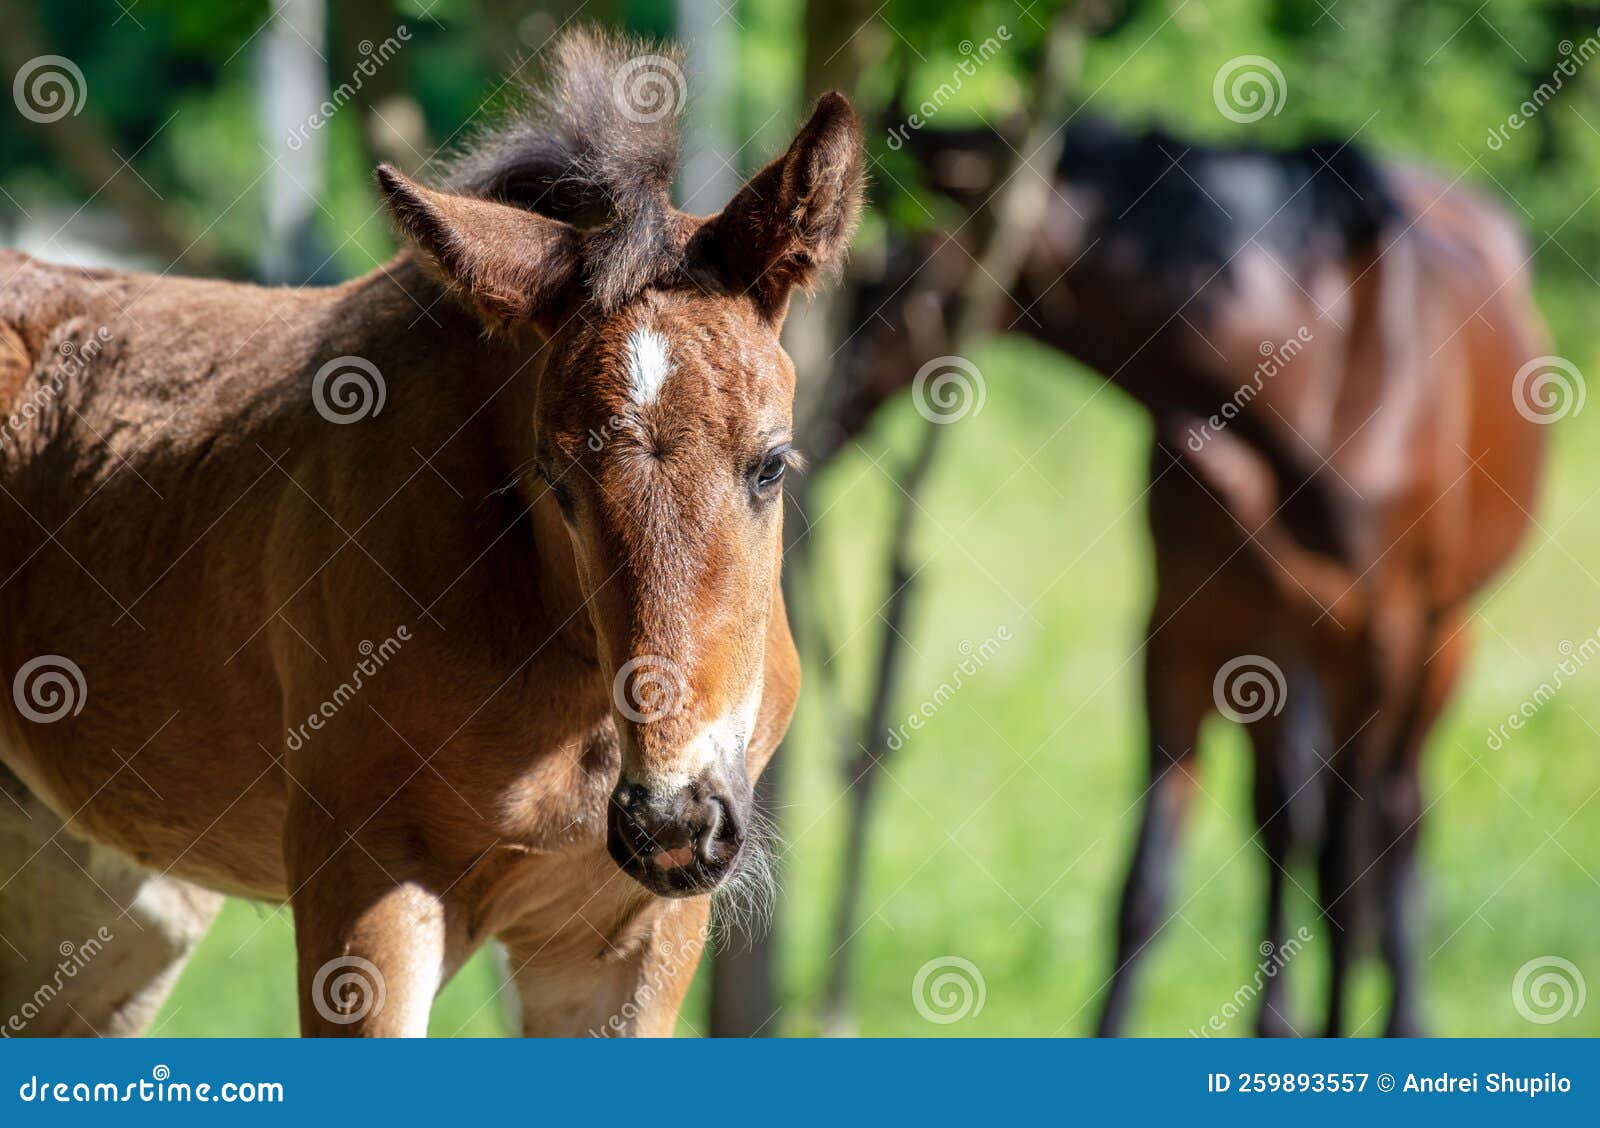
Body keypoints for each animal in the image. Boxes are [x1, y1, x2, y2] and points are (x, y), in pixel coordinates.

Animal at [846, 118, 1548, 1036]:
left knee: (1394, 818)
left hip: (1435, 638)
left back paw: (1400, 1018)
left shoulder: (1378, 641)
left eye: (879, 248)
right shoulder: (1183, 633)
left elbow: (1348, 878)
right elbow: (1144, 888)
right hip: (1275, 649)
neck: (1305, 374)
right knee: (1290, 817)